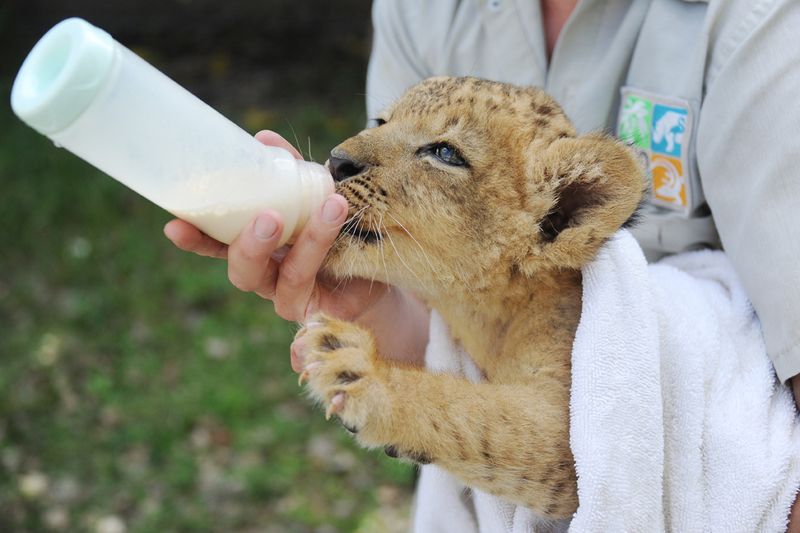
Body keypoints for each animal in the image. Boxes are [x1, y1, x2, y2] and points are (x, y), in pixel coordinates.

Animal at [293, 76, 646, 518]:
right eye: (381, 121)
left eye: (446, 153)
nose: (336, 160)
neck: (489, 317)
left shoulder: (579, 443)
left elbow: (475, 414)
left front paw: (362, 373)